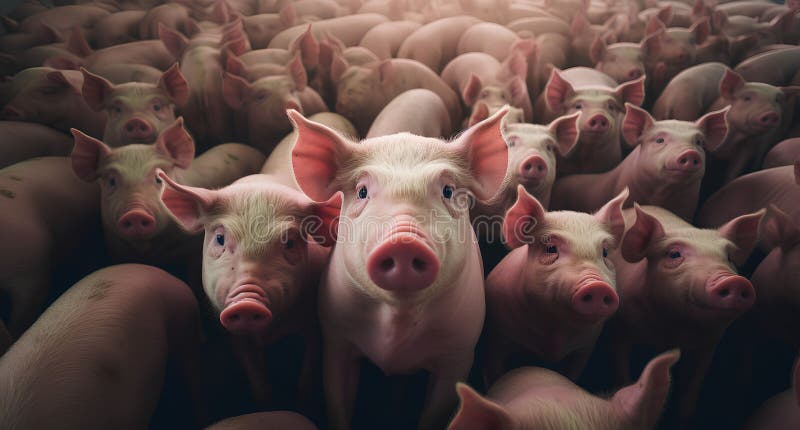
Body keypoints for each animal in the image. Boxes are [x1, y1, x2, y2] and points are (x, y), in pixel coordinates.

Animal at [159, 170, 340, 406]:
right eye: (220, 238)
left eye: (290, 243)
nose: (247, 303)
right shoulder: (236, 336)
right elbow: (258, 381)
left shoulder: (313, 323)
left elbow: (307, 374)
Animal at [289, 108, 509, 430]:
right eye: (362, 191)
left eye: (447, 190)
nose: (404, 240)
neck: (398, 324)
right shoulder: (336, 337)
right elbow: (338, 401)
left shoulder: (458, 352)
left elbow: (434, 412)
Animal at [482, 187, 628, 383]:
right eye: (550, 249)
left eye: (605, 253)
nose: (597, 285)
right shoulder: (497, 337)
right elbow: (494, 371)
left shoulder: (584, 348)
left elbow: (572, 374)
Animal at [608, 204, 763, 424]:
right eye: (674, 254)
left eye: (729, 257)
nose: (733, 280)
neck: (674, 329)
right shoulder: (620, 329)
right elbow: (622, 372)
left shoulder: (709, 344)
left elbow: (694, 383)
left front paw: (685, 417)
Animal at [653, 65, 799, 183]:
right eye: (747, 98)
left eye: (777, 100)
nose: (771, 113)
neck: (733, 139)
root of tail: (671, 102)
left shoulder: (747, 149)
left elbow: (734, 171)